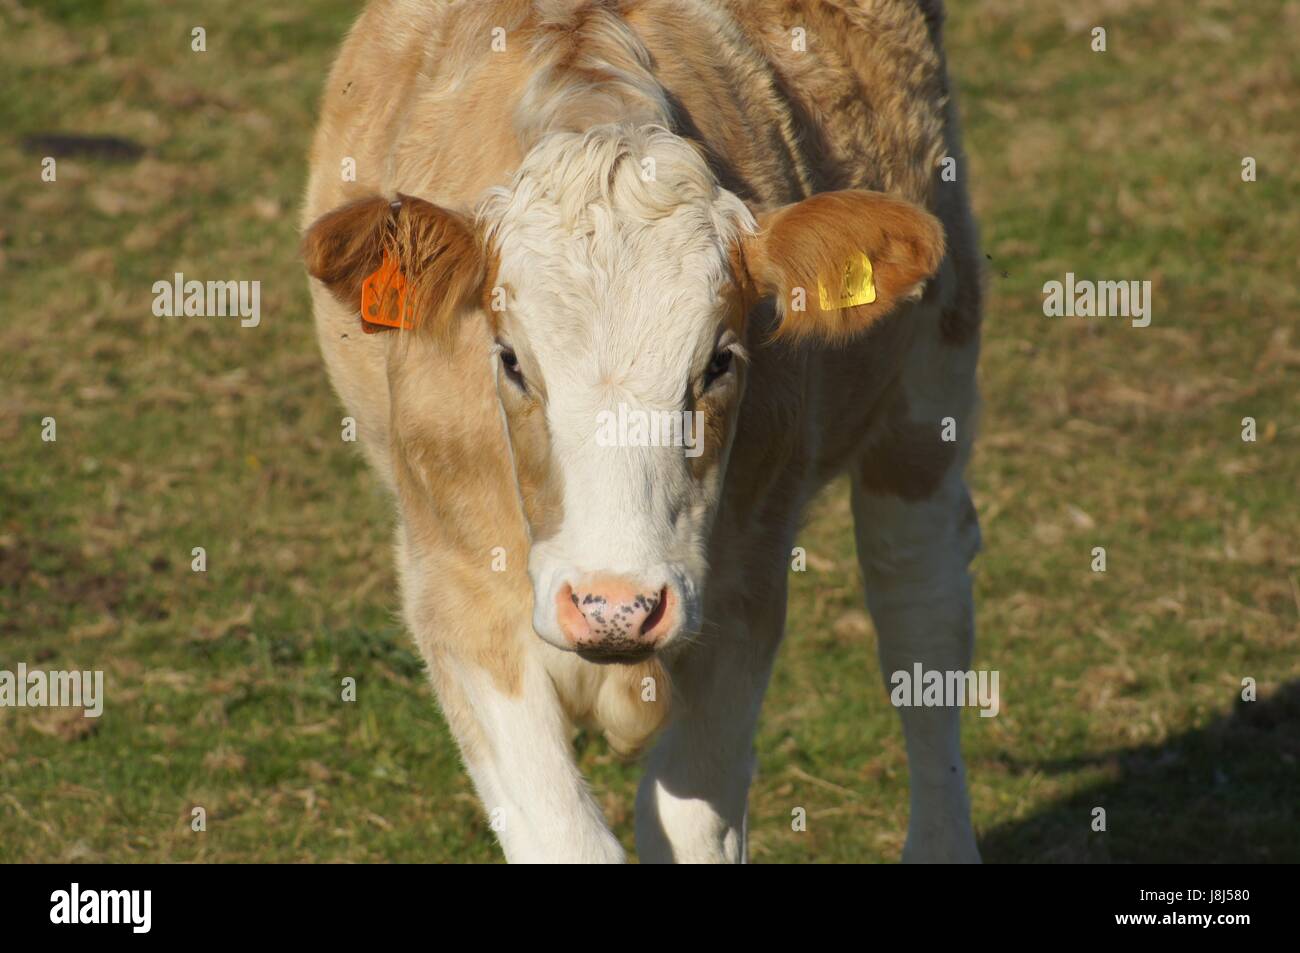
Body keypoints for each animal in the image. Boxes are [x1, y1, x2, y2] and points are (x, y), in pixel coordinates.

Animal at [301, 0, 983, 863]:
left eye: (720, 360)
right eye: (511, 359)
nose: (615, 606)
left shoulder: (745, 583)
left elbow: (689, 824)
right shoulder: (455, 585)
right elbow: (566, 836)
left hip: (934, 368)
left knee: (919, 606)